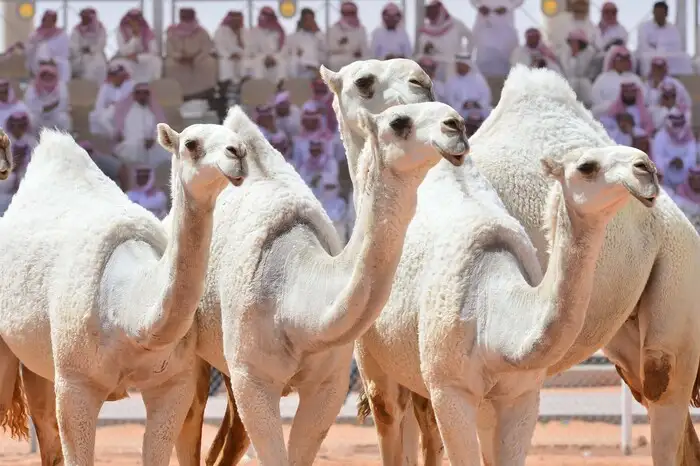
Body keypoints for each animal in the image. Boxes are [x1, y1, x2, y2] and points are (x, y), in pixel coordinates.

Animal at [0, 124, 249, 466]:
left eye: (240, 140)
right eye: (190, 143)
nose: (238, 153)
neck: (129, 316)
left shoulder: (173, 383)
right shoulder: (76, 383)